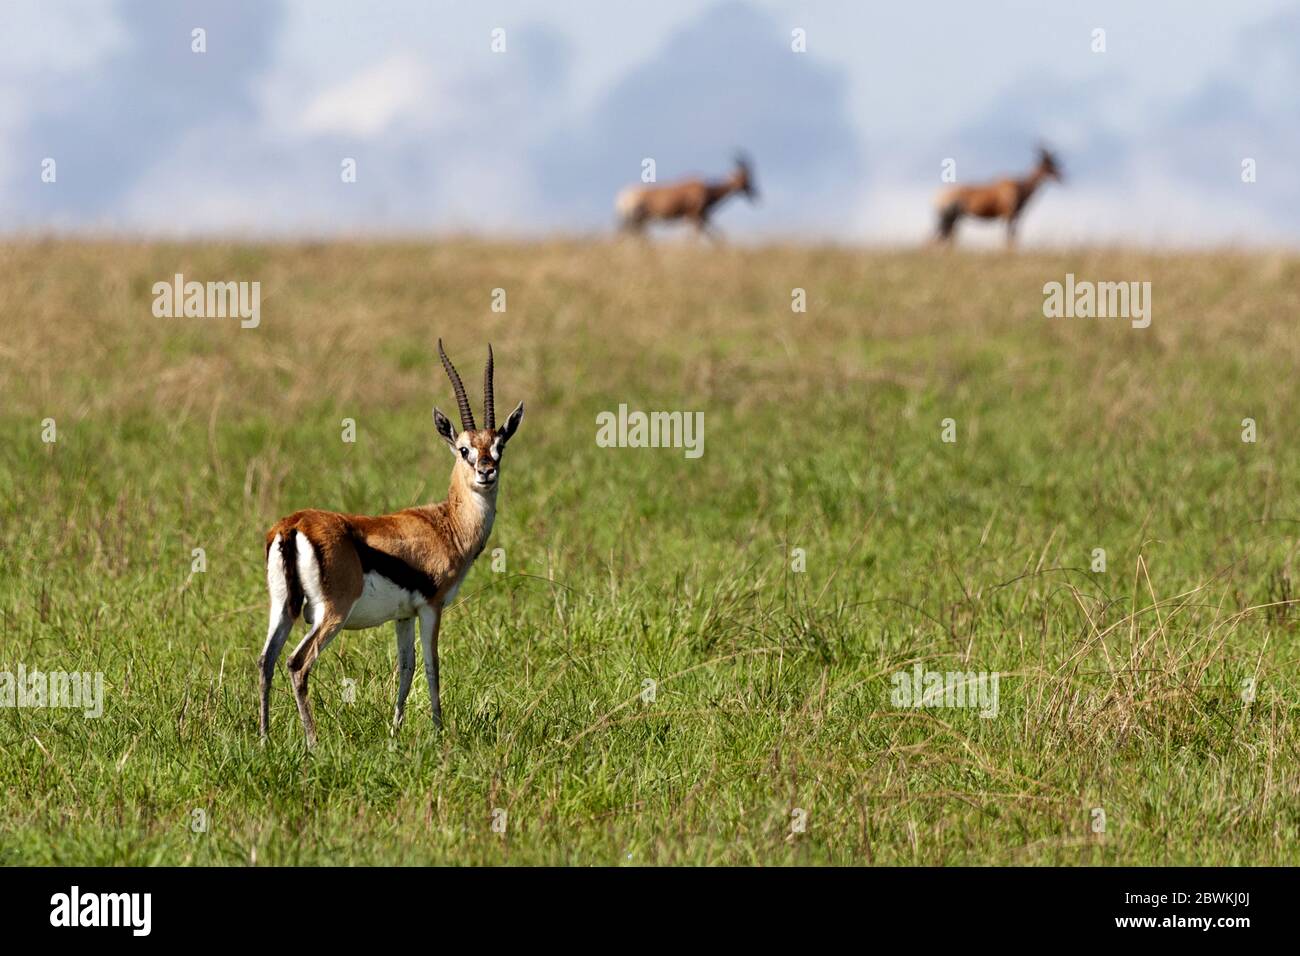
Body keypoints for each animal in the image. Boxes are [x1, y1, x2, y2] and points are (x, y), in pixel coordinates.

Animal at [259, 341, 524, 746]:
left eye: (499, 446)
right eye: (463, 449)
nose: (486, 471)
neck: (447, 524)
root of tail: (294, 525)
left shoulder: (403, 615)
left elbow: (406, 666)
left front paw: (395, 731)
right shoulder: (432, 607)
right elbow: (432, 665)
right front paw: (438, 733)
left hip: (283, 609)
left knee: (266, 660)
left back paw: (264, 739)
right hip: (331, 614)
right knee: (297, 664)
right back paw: (313, 743)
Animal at [615, 153, 758, 238]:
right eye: (746, 178)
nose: (756, 195)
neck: (706, 189)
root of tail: (623, 197)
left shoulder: (702, 217)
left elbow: (717, 237)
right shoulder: (695, 217)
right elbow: (694, 237)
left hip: (638, 221)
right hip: (637, 220)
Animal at [934, 146, 1063, 247]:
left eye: (1054, 161)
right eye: (1048, 163)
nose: (1060, 176)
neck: (1019, 185)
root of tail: (939, 196)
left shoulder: (1013, 216)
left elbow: (1012, 234)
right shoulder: (1009, 214)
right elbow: (1010, 234)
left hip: (953, 219)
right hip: (949, 218)